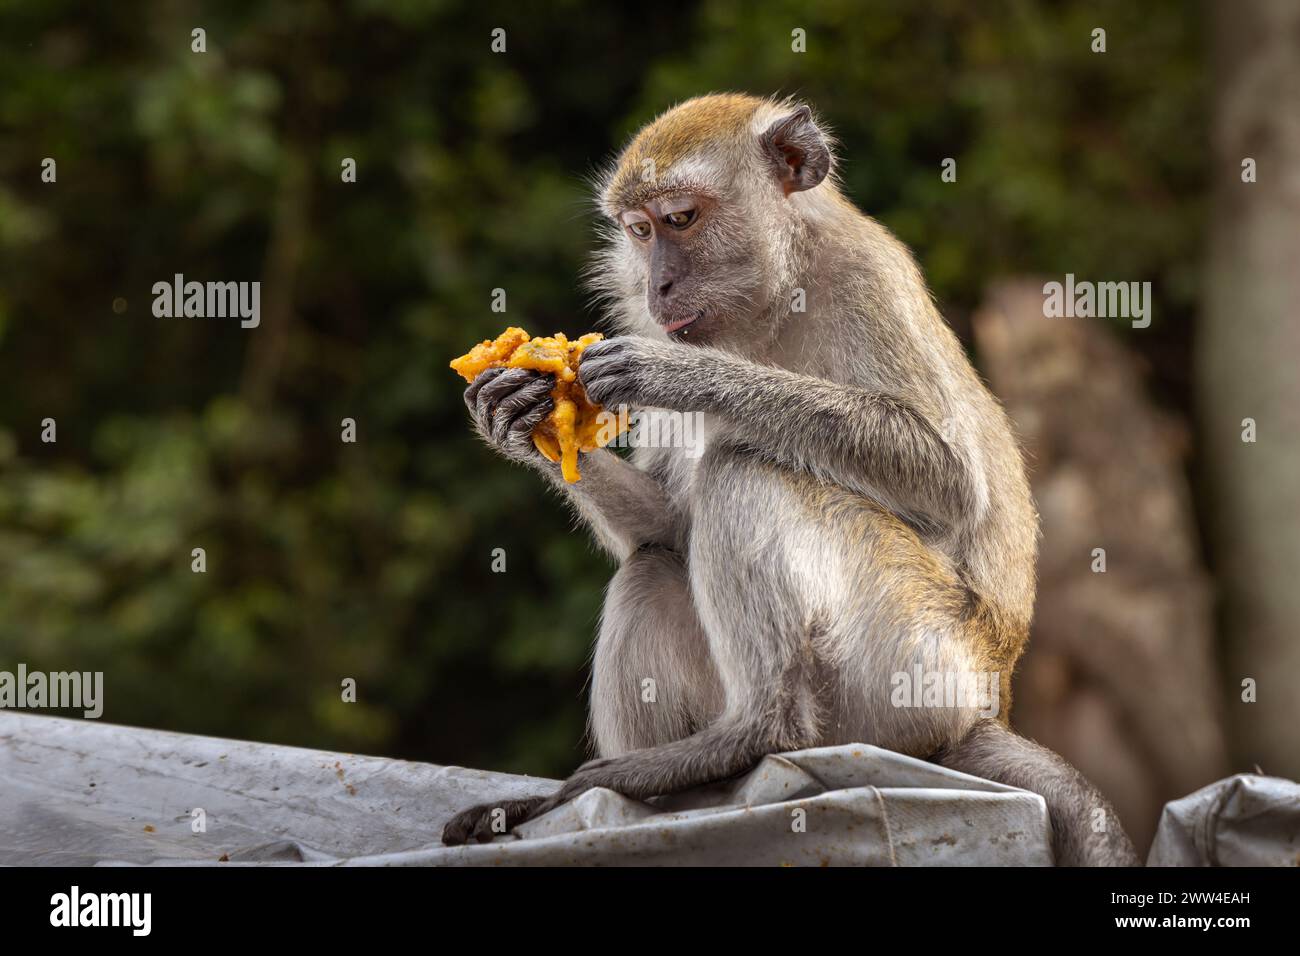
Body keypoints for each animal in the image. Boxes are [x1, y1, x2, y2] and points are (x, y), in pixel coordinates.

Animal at [442, 93, 1139, 866]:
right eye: (639, 231)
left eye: (680, 219)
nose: (657, 285)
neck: (777, 297)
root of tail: (986, 702)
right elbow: (669, 525)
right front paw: (514, 412)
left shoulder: (868, 278)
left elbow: (949, 480)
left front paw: (689, 377)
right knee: (655, 562)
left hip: (913, 660)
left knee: (743, 468)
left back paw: (755, 735)